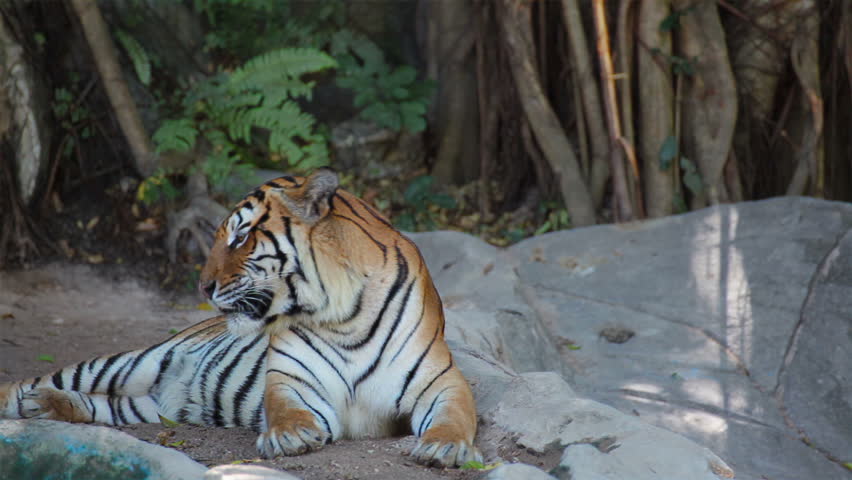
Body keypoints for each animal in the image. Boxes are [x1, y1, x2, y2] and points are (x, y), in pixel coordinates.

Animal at [0, 168, 482, 467]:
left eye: (240, 236)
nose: (202, 287)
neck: (342, 316)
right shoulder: (291, 379)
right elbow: (287, 410)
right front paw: (290, 437)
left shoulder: (441, 379)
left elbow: (455, 415)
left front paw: (445, 449)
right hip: (129, 362)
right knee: (28, 383)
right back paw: (32, 401)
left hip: (145, 404)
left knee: (101, 406)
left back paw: (45, 406)